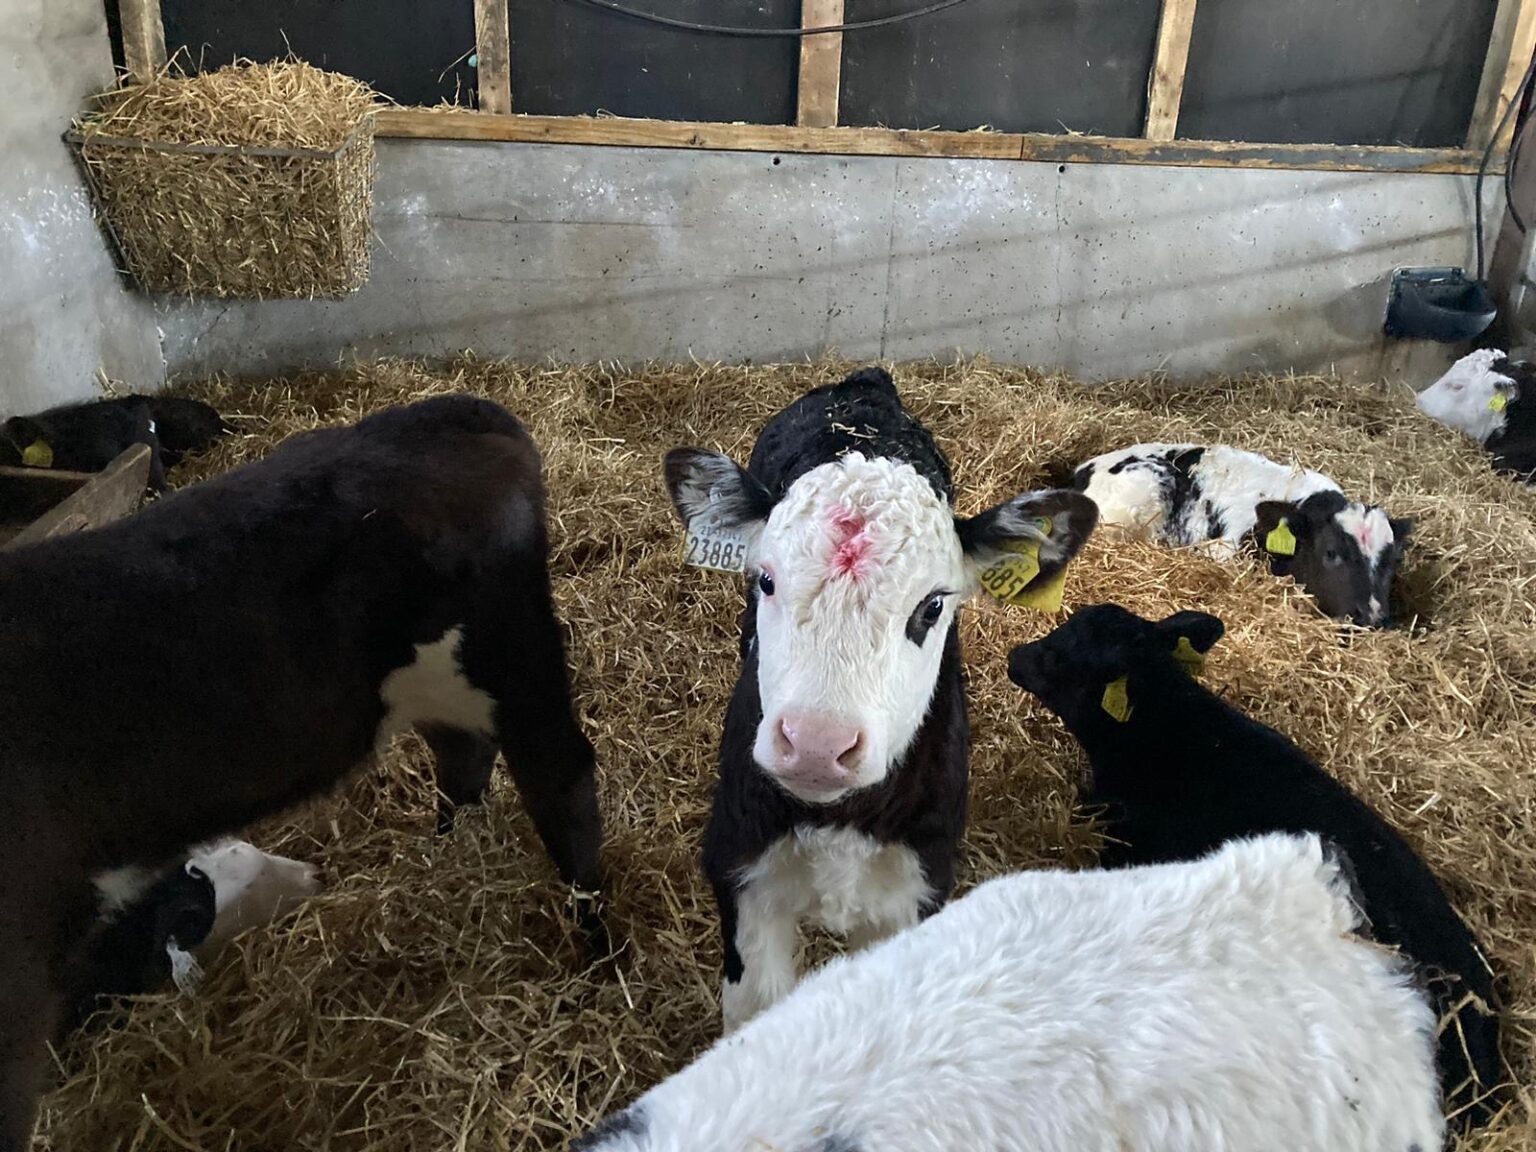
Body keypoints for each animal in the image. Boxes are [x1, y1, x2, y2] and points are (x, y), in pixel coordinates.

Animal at [662, 367, 1097, 1032]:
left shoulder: (919, 887)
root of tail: (862, 385)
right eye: (766, 580)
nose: (817, 745)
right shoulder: (741, 875)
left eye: (933, 605)